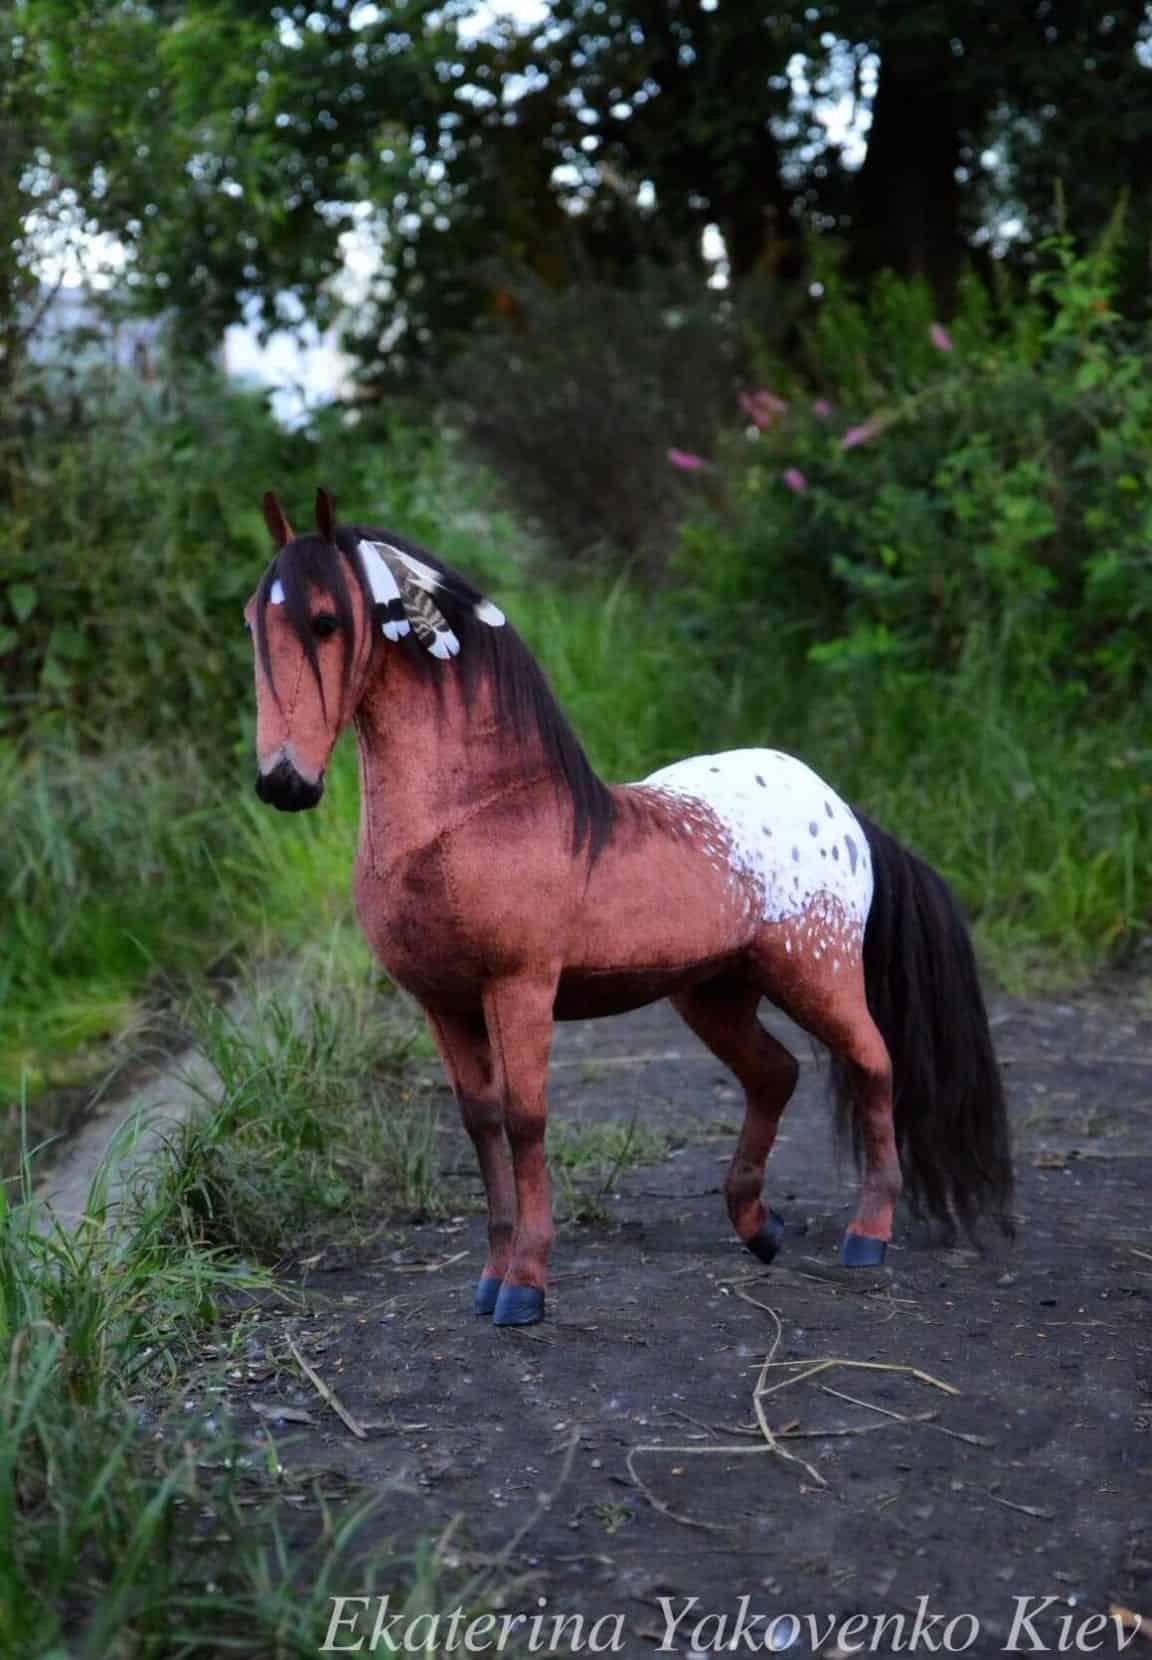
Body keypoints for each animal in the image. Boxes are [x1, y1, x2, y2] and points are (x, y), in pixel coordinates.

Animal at [246, 488, 1013, 1327]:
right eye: (253, 620)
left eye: (325, 621)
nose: (283, 783)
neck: (478, 813)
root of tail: (844, 811)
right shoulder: (443, 1003)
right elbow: (481, 1123)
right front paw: (489, 1277)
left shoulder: (519, 989)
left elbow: (525, 1120)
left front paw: (525, 1287)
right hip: (714, 991)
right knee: (775, 1074)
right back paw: (759, 1229)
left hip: (815, 973)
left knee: (873, 1064)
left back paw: (866, 1236)